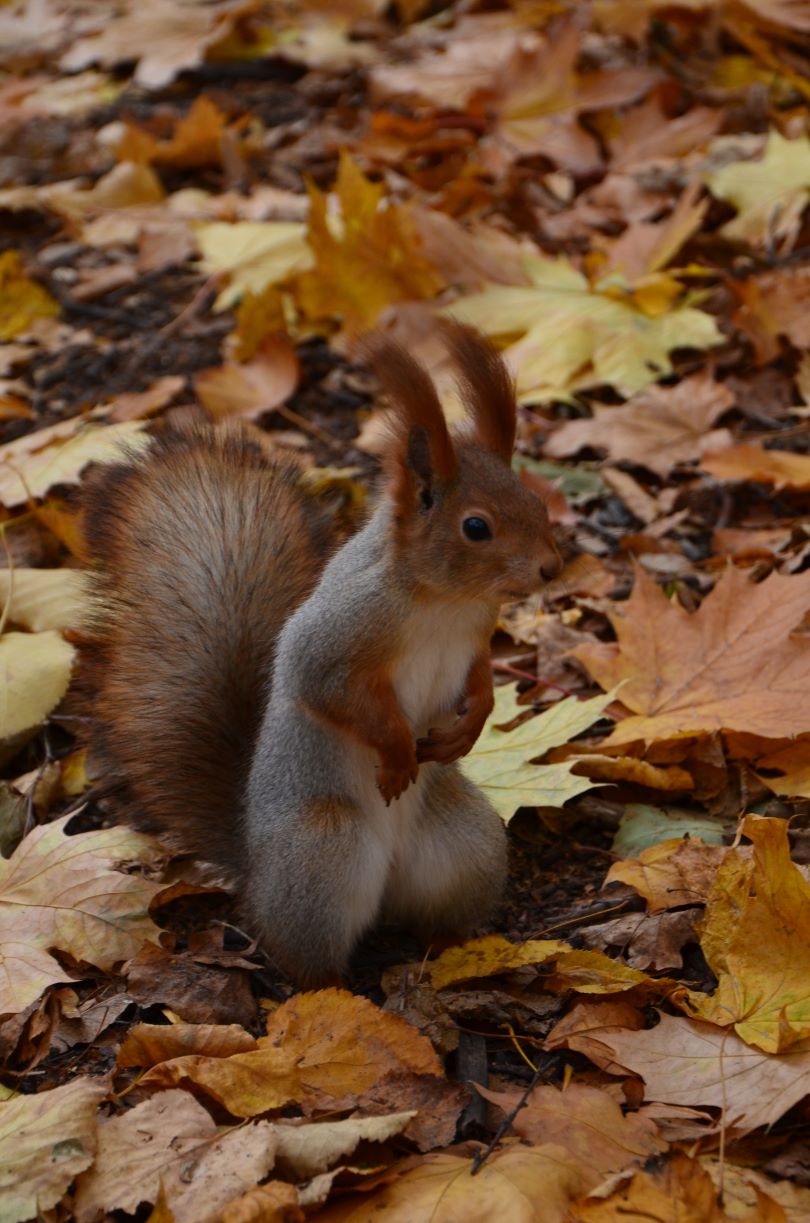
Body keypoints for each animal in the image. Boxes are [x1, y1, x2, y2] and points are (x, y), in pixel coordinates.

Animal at [82, 322, 565, 983]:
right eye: (476, 527)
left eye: (539, 504)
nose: (551, 568)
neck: (446, 601)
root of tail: (255, 875)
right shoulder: (336, 636)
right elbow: (328, 691)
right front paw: (396, 754)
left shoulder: (475, 635)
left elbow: (482, 679)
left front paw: (471, 726)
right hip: (324, 851)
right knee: (306, 958)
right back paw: (338, 990)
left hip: (468, 842)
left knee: (431, 911)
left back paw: (455, 948)